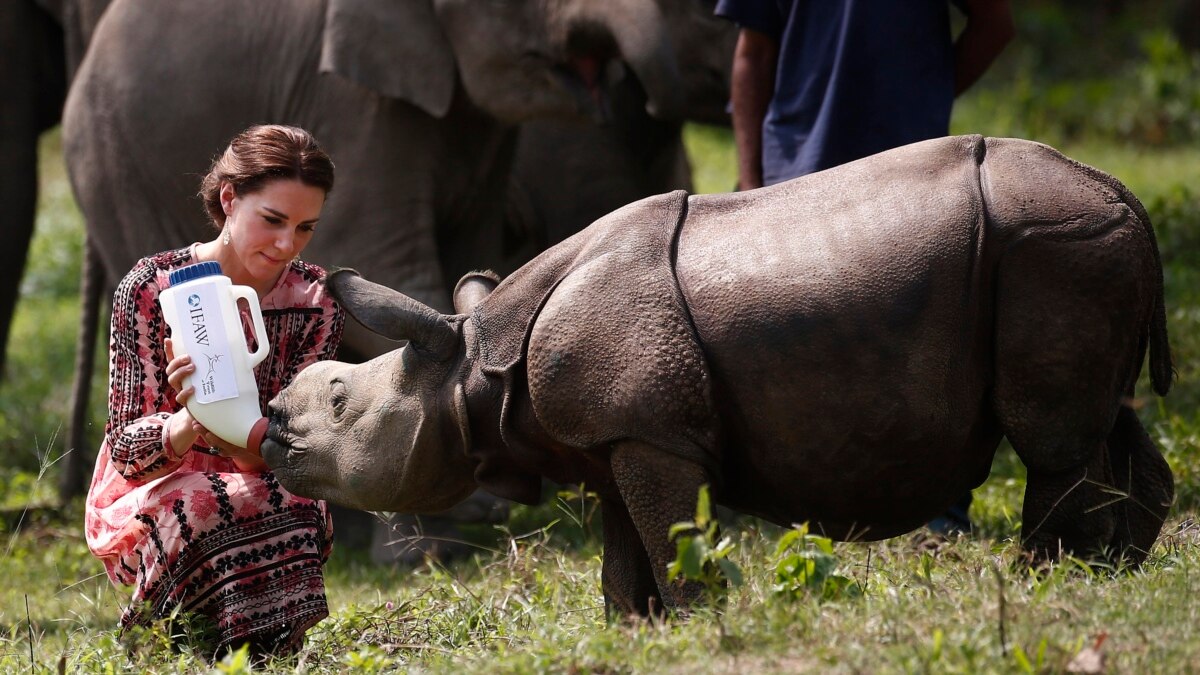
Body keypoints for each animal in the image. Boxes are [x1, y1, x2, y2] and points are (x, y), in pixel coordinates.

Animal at [261, 135, 1174, 616]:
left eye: (339, 399)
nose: (269, 423)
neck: (473, 369)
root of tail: (1124, 194)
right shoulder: (616, 431)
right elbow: (624, 550)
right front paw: (635, 630)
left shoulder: (650, 427)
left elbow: (672, 537)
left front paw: (699, 619)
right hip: (1078, 247)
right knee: (1103, 418)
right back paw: (1116, 574)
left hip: (1051, 245)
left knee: (1052, 438)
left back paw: (1043, 583)